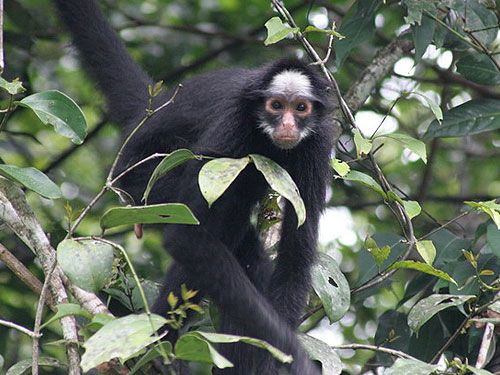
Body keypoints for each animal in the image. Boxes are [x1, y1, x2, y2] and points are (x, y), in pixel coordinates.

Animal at [53, 1, 336, 374]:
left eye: (300, 108)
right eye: (277, 106)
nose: (288, 124)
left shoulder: (318, 145)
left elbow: (295, 257)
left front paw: (274, 359)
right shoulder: (233, 124)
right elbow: (187, 238)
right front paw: (293, 356)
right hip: (144, 179)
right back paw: (156, 350)